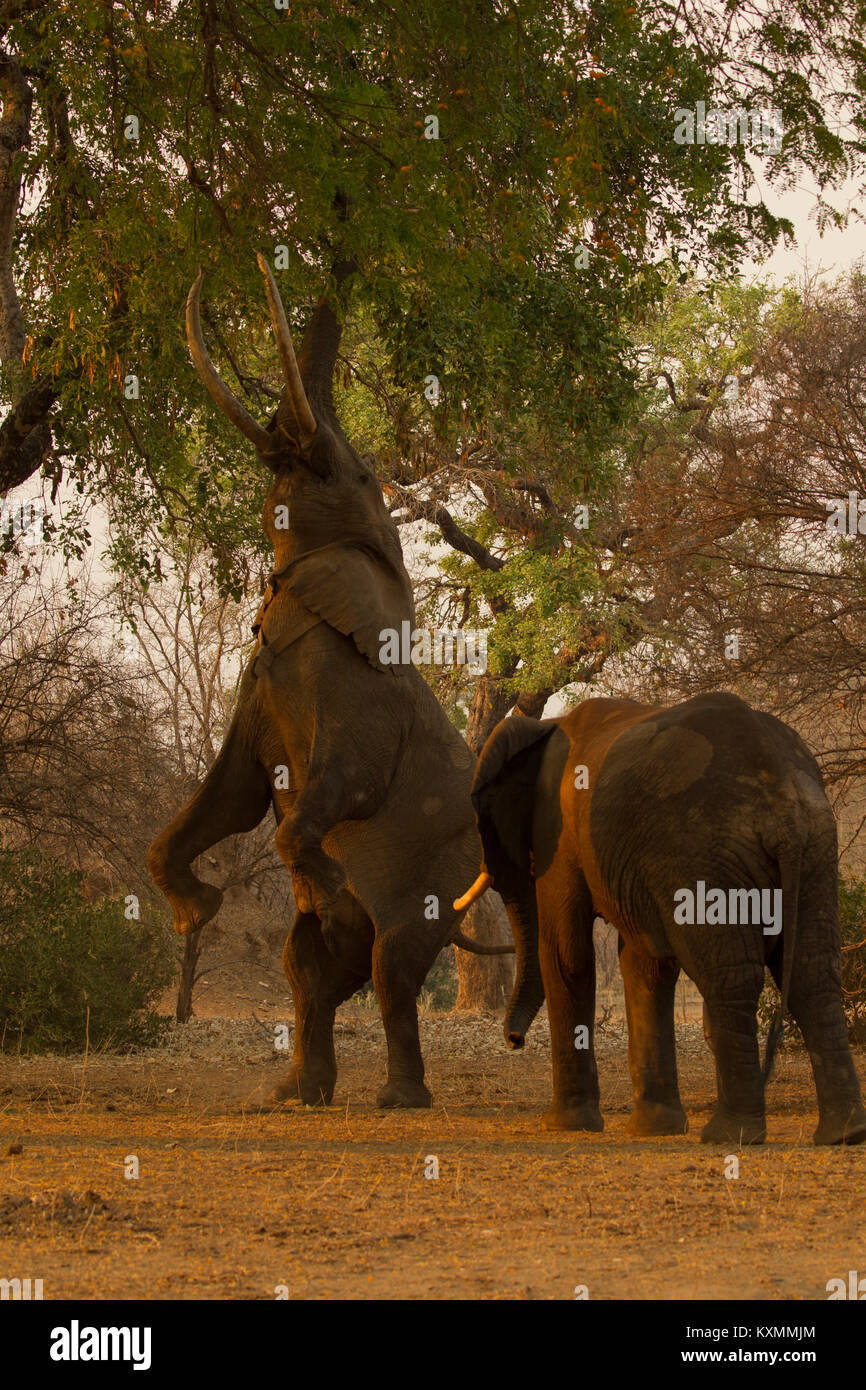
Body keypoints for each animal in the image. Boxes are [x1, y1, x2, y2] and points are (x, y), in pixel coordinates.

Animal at [148, 250, 510, 1110]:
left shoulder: (364, 704)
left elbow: (329, 792)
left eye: (367, 471)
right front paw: (195, 912)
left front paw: (321, 877)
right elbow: (233, 795)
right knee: (311, 967)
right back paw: (293, 1094)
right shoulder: (256, 691)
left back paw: (398, 1099)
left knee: (390, 965)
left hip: (445, 867)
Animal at [454, 692, 866, 1146]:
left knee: (731, 978)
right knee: (814, 975)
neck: (544, 726)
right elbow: (645, 963)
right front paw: (654, 1129)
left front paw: (563, 1125)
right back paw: (844, 1132)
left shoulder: (557, 832)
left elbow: (566, 953)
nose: (514, 1040)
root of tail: (781, 799)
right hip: (816, 849)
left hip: (705, 855)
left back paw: (729, 1134)